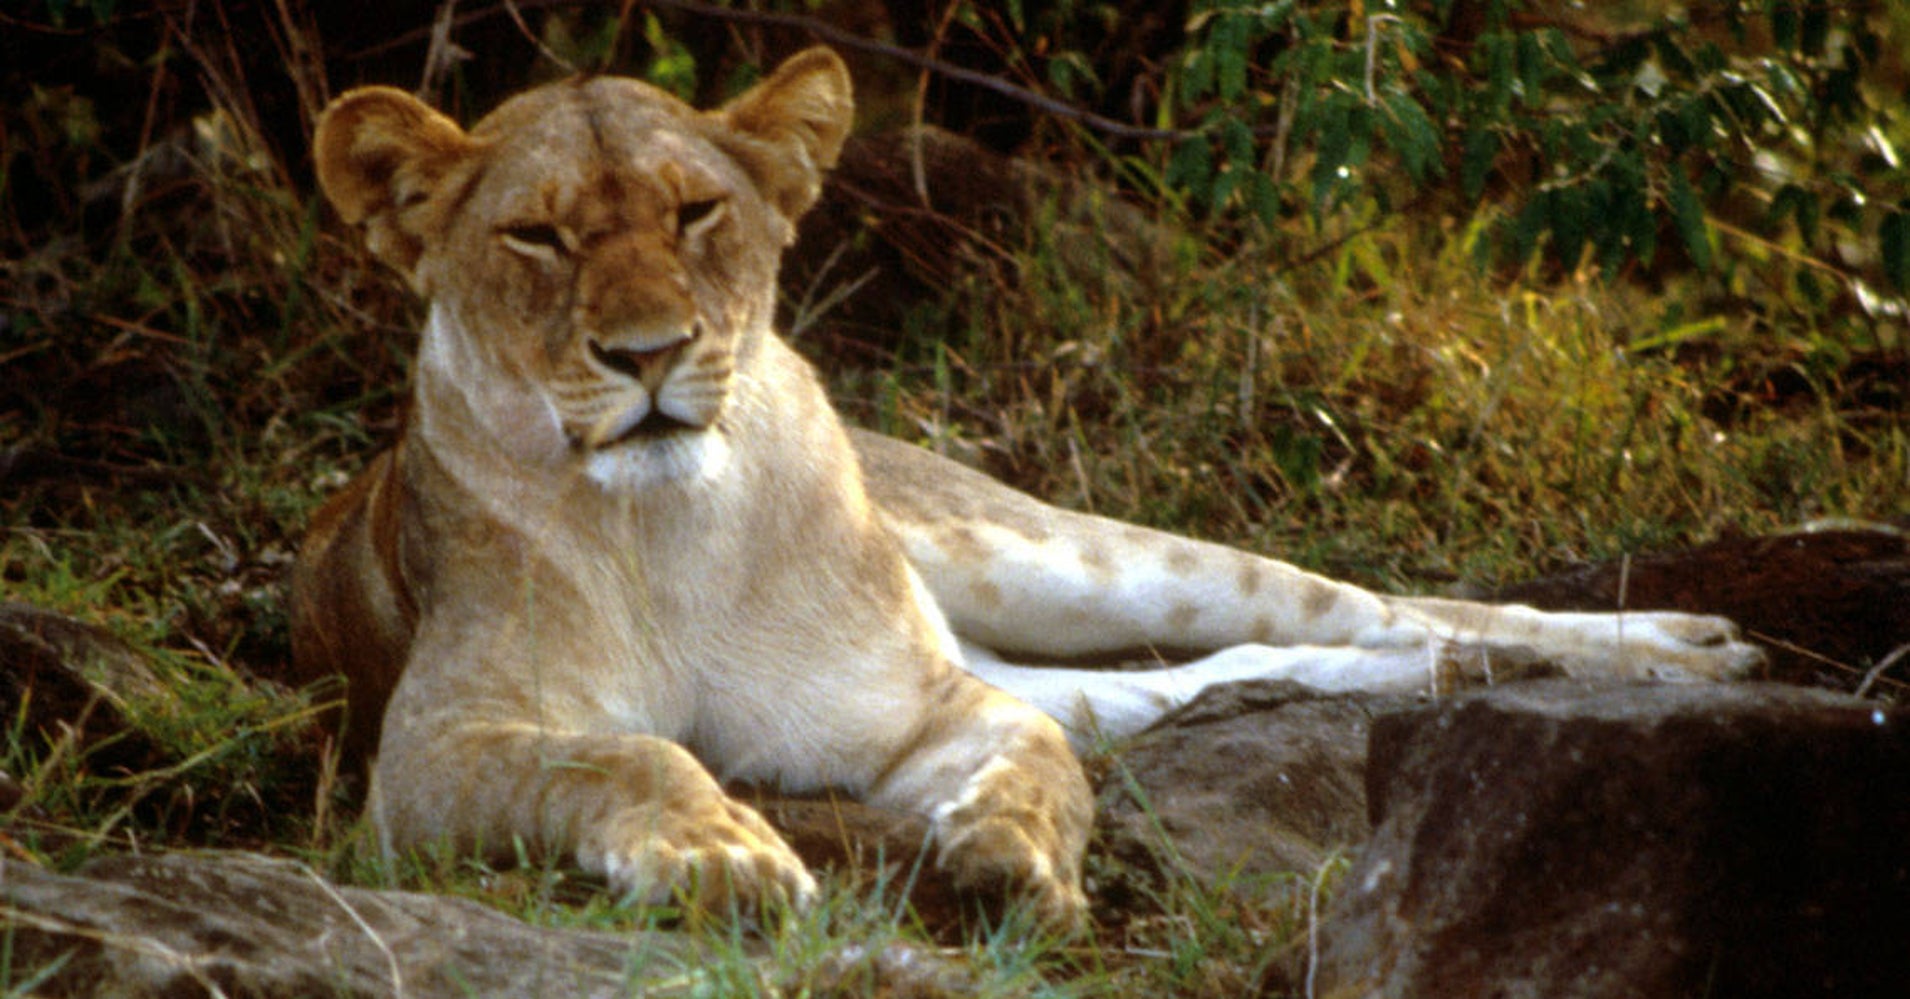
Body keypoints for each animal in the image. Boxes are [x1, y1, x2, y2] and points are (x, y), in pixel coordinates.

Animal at [292, 47, 1762, 926]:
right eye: (534, 237)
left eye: (697, 213)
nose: (647, 354)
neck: (670, 530)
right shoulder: (421, 757)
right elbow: (630, 750)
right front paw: (721, 853)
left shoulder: (921, 703)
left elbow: (1038, 759)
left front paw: (1018, 854)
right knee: (1237, 668)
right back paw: (1481, 683)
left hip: (1055, 555)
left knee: (1363, 605)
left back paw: (1677, 650)